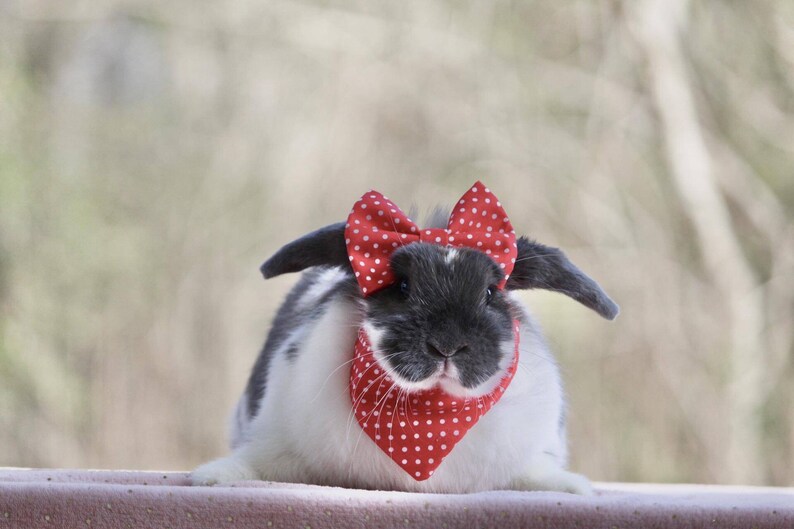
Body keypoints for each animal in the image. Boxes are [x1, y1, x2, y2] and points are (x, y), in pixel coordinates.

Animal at [191, 190, 618, 495]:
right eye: (402, 287)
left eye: (490, 293)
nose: (447, 345)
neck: (427, 421)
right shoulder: (275, 441)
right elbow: (253, 462)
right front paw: (207, 478)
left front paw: (575, 488)